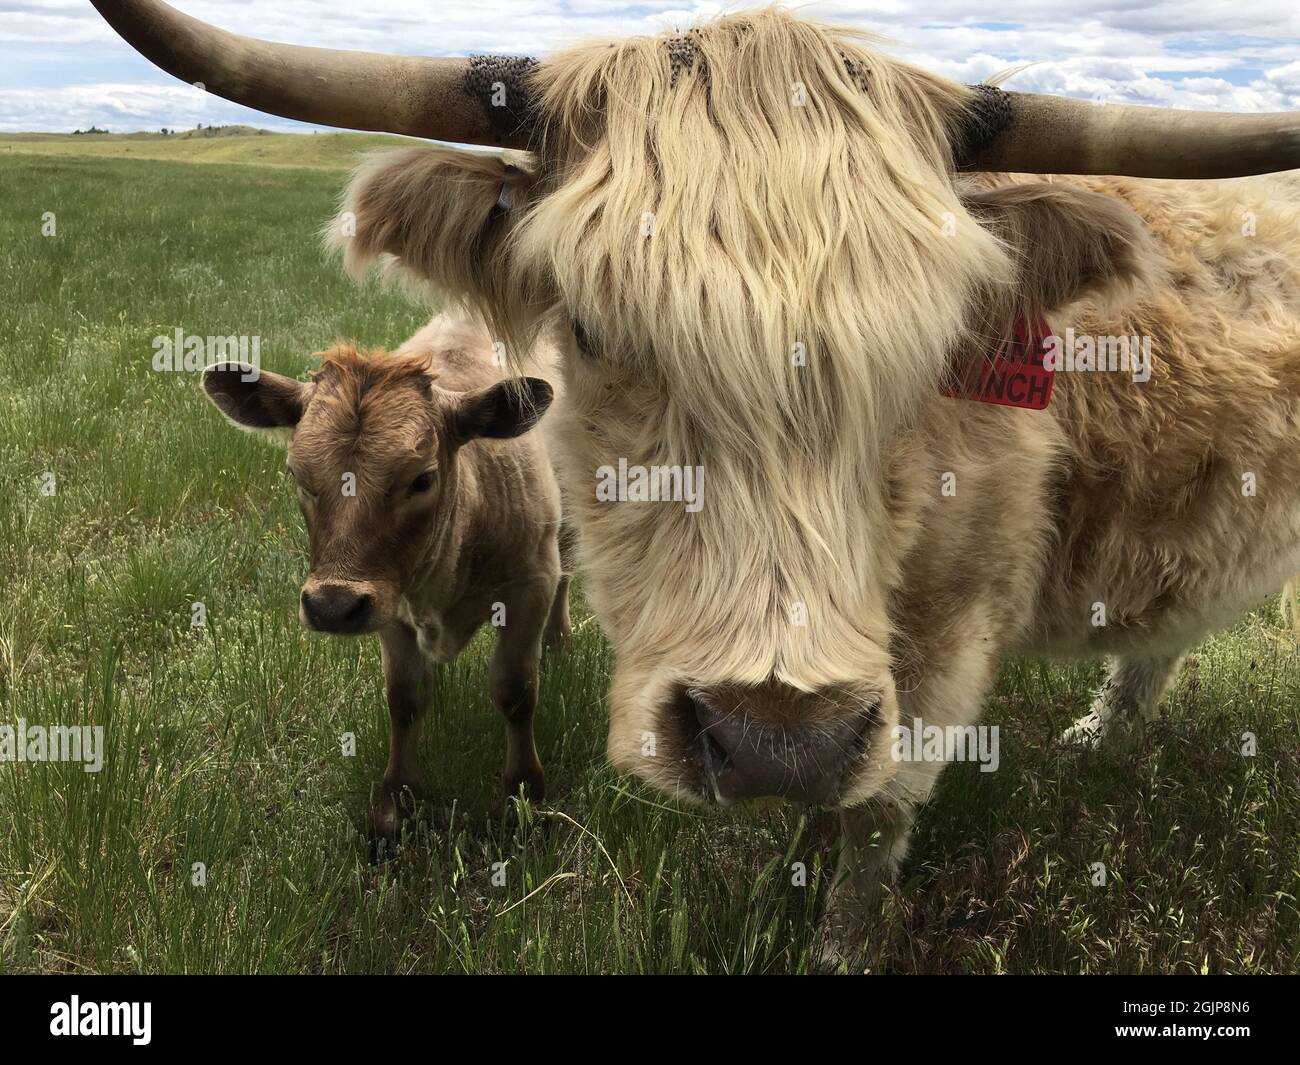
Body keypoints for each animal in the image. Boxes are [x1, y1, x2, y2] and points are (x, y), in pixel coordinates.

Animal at [201, 314, 566, 842]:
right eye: (297, 475)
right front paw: (396, 799)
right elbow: (404, 698)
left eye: (422, 479)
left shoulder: (531, 583)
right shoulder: (388, 604)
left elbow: (516, 692)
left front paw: (524, 793)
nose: (331, 606)